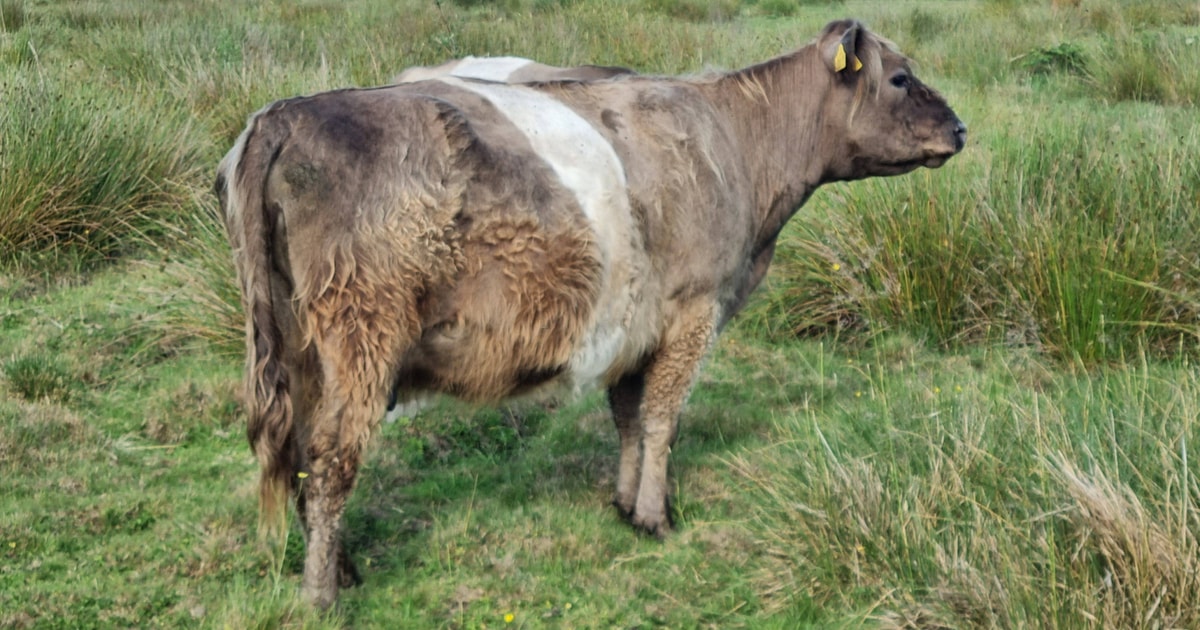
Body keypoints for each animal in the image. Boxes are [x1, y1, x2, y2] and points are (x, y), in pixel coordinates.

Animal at [216, 19, 966, 608]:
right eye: (901, 79)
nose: (960, 129)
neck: (734, 140)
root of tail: (283, 115)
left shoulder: (635, 325)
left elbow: (629, 417)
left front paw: (626, 505)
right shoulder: (694, 310)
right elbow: (662, 417)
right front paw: (658, 517)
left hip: (300, 348)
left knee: (302, 457)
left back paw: (342, 568)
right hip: (361, 338)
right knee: (331, 458)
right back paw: (323, 595)